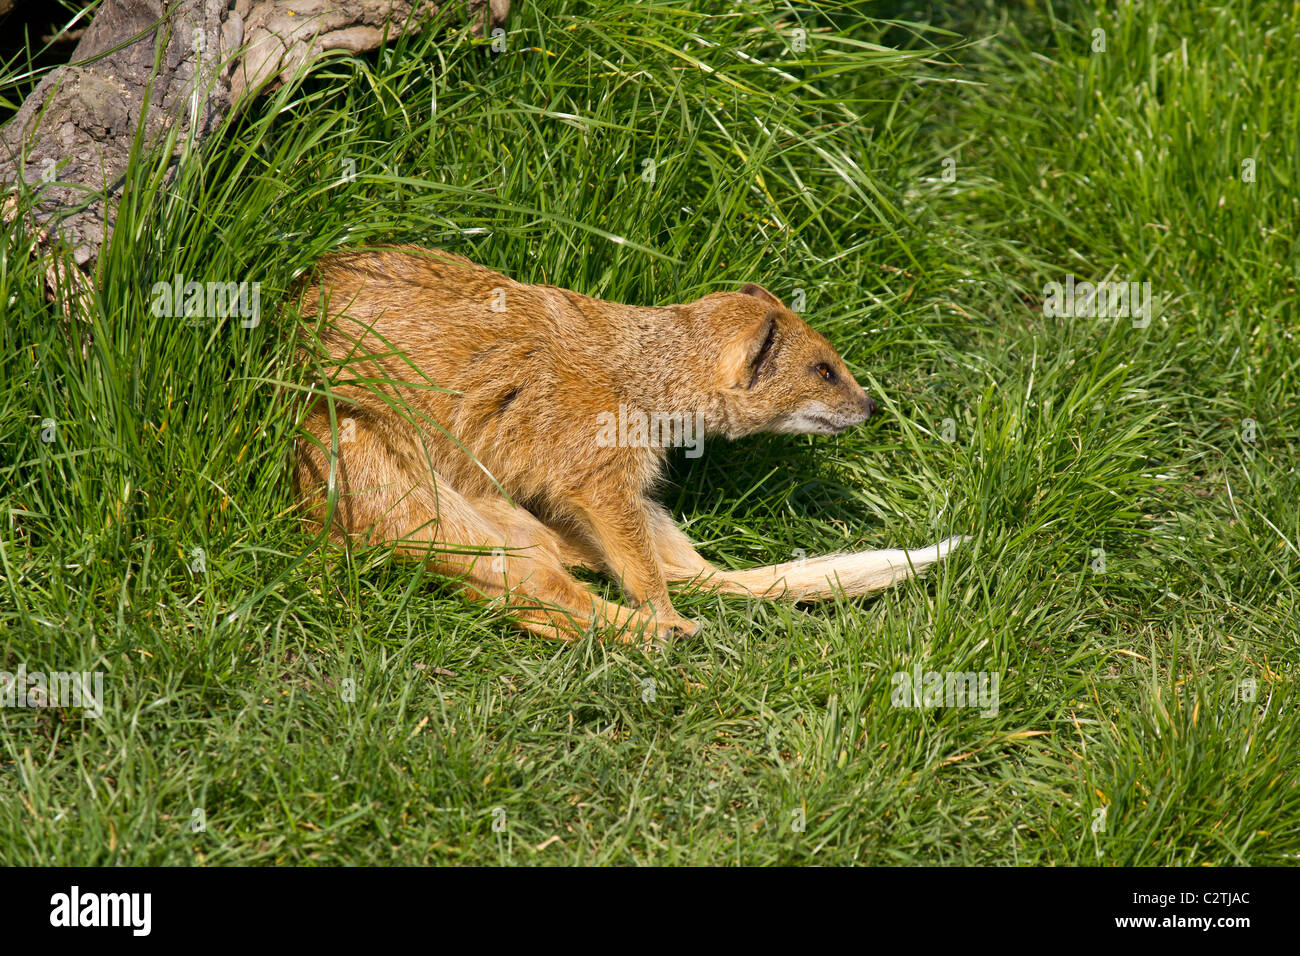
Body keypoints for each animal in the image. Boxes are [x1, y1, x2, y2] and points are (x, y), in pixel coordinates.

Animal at [293, 245, 965, 642]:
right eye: (824, 370)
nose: (871, 406)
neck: (637, 369)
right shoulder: (597, 469)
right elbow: (633, 560)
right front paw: (663, 616)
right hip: (394, 486)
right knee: (534, 590)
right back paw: (662, 634)